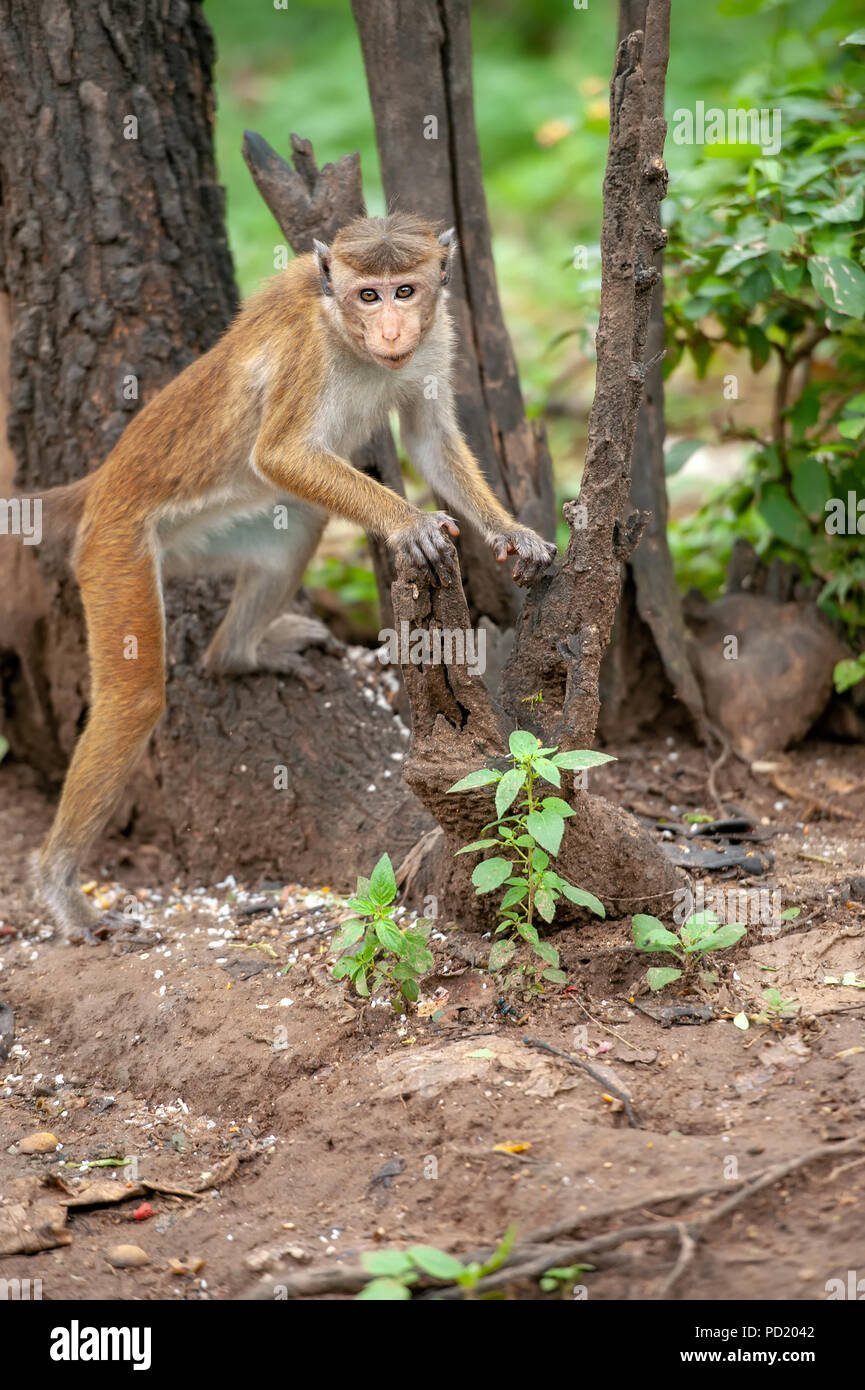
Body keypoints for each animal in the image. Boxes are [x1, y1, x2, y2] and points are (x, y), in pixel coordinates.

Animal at [31, 211, 557, 944]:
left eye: (405, 290)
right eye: (369, 296)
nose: (391, 329)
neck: (348, 337)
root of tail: (100, 484)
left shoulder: (436, 337)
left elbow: (429, 440)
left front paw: (510, 531)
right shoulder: (308, 351)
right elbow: (280, 453)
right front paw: (409, 524)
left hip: (197, 536)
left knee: (297, 526)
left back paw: (236, 655)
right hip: (115, 548)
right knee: (132, 699)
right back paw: (60, 884)